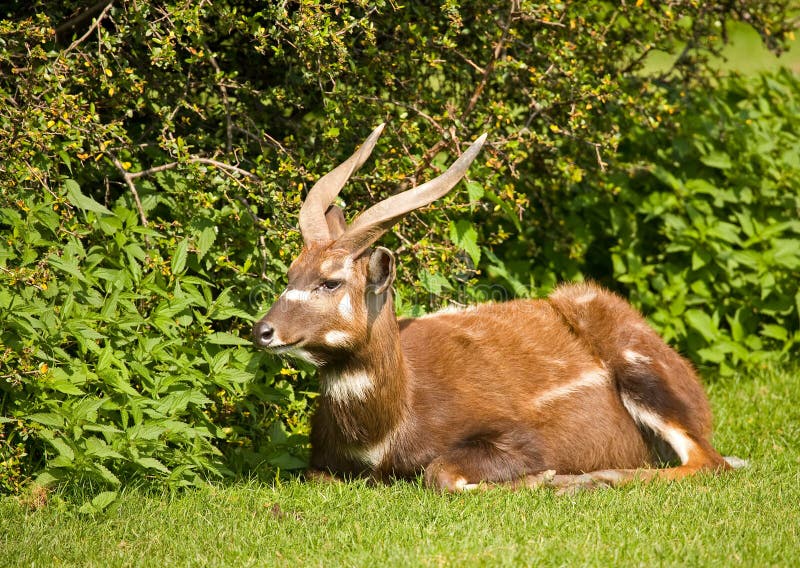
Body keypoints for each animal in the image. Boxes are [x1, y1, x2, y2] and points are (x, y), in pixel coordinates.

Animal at [252, 124, 736, 492]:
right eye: (290, 272)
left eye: (331, 281)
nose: (261, 331)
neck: (387, 429)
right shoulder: (321, 465)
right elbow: (317, 476)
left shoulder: (520, 438)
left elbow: (440, 474)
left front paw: (548, 479)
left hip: (642, 371)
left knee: (711, 463)